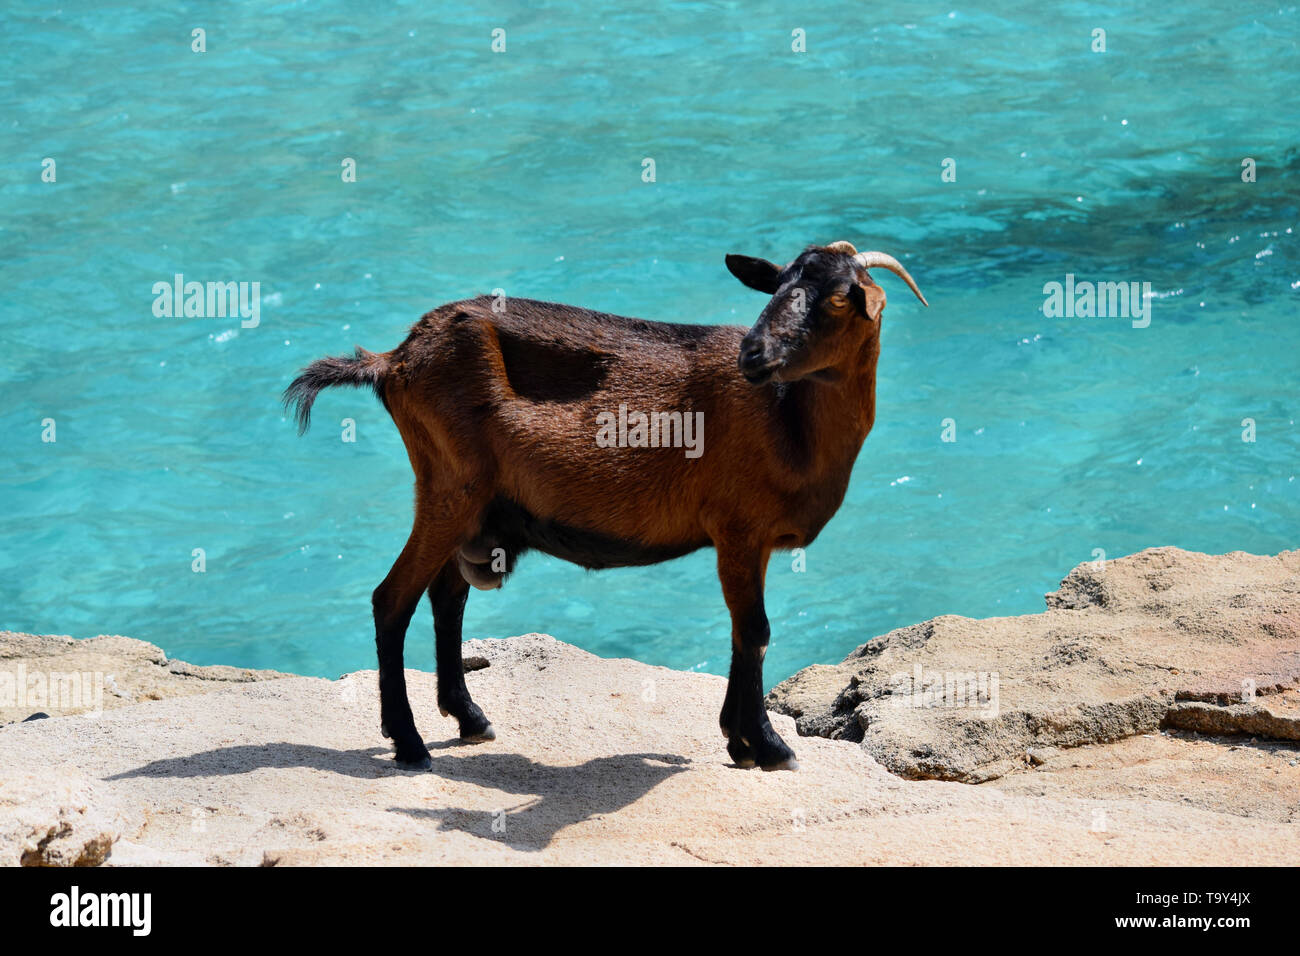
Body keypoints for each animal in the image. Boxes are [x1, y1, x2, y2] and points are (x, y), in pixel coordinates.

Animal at [284, 241, 927, 771]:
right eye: (776, 288)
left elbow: (742, 633)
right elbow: (756, 631)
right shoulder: (738, 528)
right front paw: (769, 747)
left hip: (469, 505)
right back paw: (410, 745)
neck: (786, 419)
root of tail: (392, 360)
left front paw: (738, 740)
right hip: (449, 488)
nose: (752, 355)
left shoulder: (750, 541)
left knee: (447, 596)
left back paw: (470, 719)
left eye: (838, 298)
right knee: (392, 599)